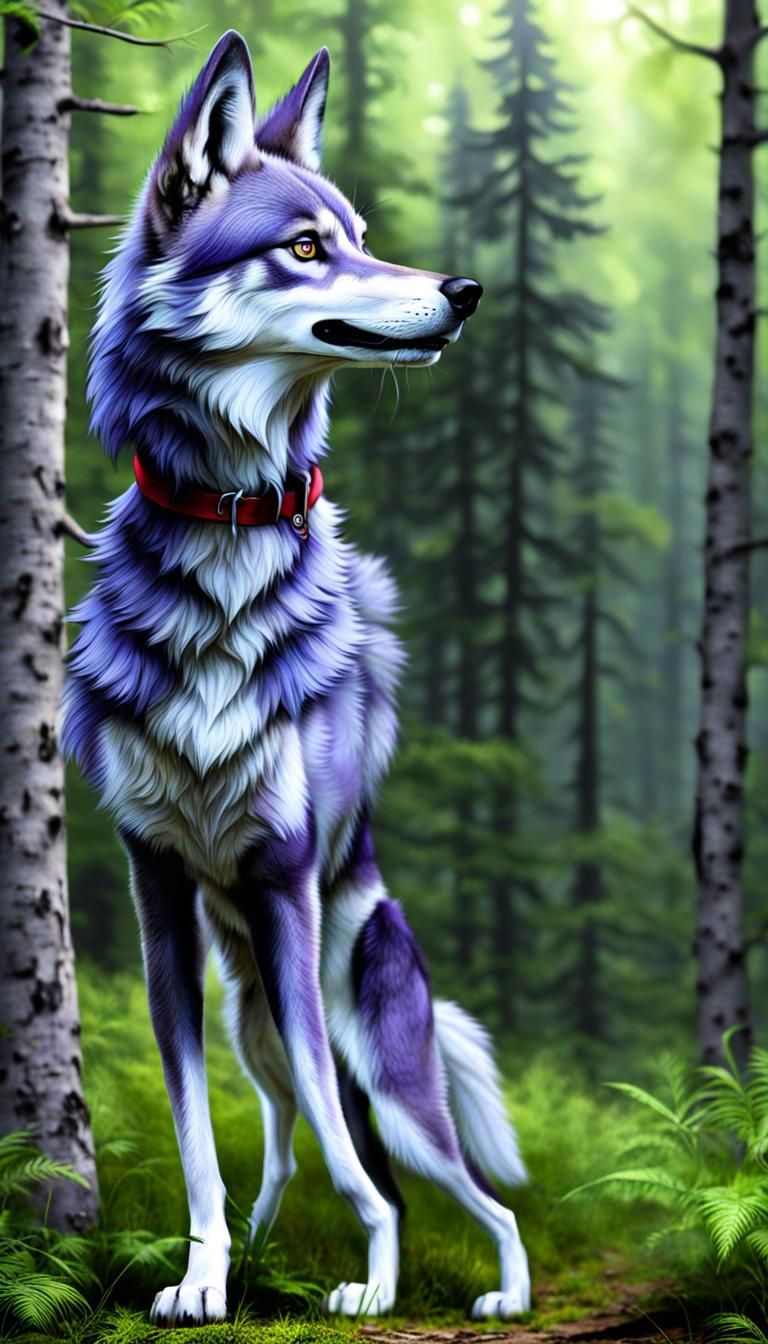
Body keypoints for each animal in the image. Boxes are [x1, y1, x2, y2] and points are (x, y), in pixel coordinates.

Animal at [61, 32, 530, 1327]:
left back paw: (495, 1292)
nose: (464, 293)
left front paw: (372, 1279)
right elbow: (197, 1142)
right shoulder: (160, 901)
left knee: (453, 1183)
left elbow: (351, 1161)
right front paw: (203, 1279)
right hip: (250, 1019)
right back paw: (265, 1248)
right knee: (279, 1136)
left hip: (368, 1045)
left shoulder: (281, 885)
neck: (226, 530)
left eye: (362, 232)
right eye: (308, 246)